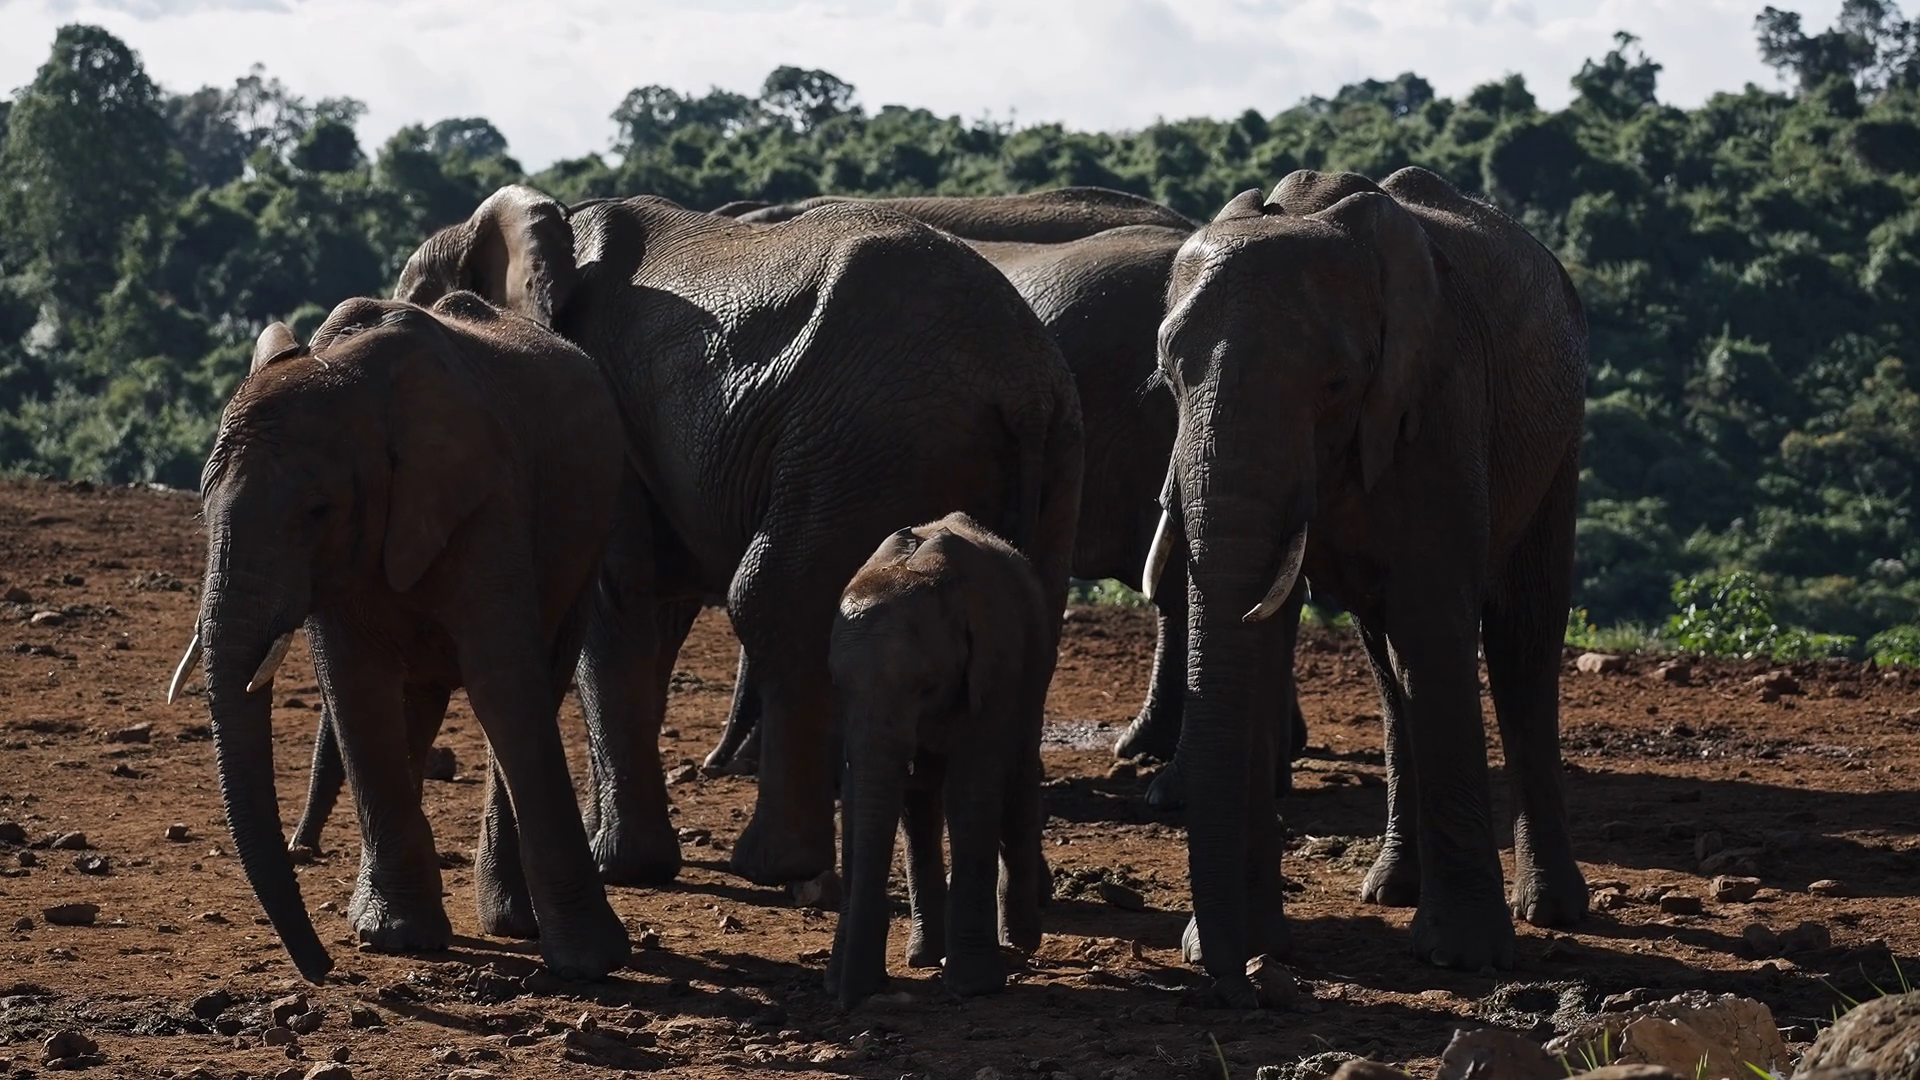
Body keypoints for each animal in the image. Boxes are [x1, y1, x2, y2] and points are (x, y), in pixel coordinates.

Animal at [166, 290, 631, 982]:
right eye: (201, 506)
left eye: (318, 511)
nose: (325, 970)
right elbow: (357, 689)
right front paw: (396, 939)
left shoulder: (484, 497)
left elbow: (503, 683)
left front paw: (591, 964)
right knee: (414, 704)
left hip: (588, 533)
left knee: (538, 680)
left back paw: (511, 924)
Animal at [395, 186, 1083, 892]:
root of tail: (1021, 383)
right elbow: (655, 620)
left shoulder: (602, 415)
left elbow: (615, 603)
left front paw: (622, 865)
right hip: (1051, 453)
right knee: (1028, 631)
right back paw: (1026, 892)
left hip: (864, 447)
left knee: (773, 601)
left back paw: (773, 865)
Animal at [825, 512, 1053, 1007]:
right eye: (837, 686)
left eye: (926, 685)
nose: (851, 1000)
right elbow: (861, 795)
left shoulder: (995, 670)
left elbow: (971, 793)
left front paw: (974, 986)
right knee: (918, 810)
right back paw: (924, 957)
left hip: (1035, 665)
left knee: (1019, 782)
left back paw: (1020, 942)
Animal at [1148, 168, 1589, 1001]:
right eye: (1166, 380)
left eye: (1337, 384)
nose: (1235, 981)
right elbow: (1264, 630)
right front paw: (1249, 944)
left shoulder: (1441, 397)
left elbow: (1436, 618)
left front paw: (1466, 959)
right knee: (1389, 669)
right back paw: (1390, 890)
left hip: (1562, 431)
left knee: (1522, 642)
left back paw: (1553, 912)